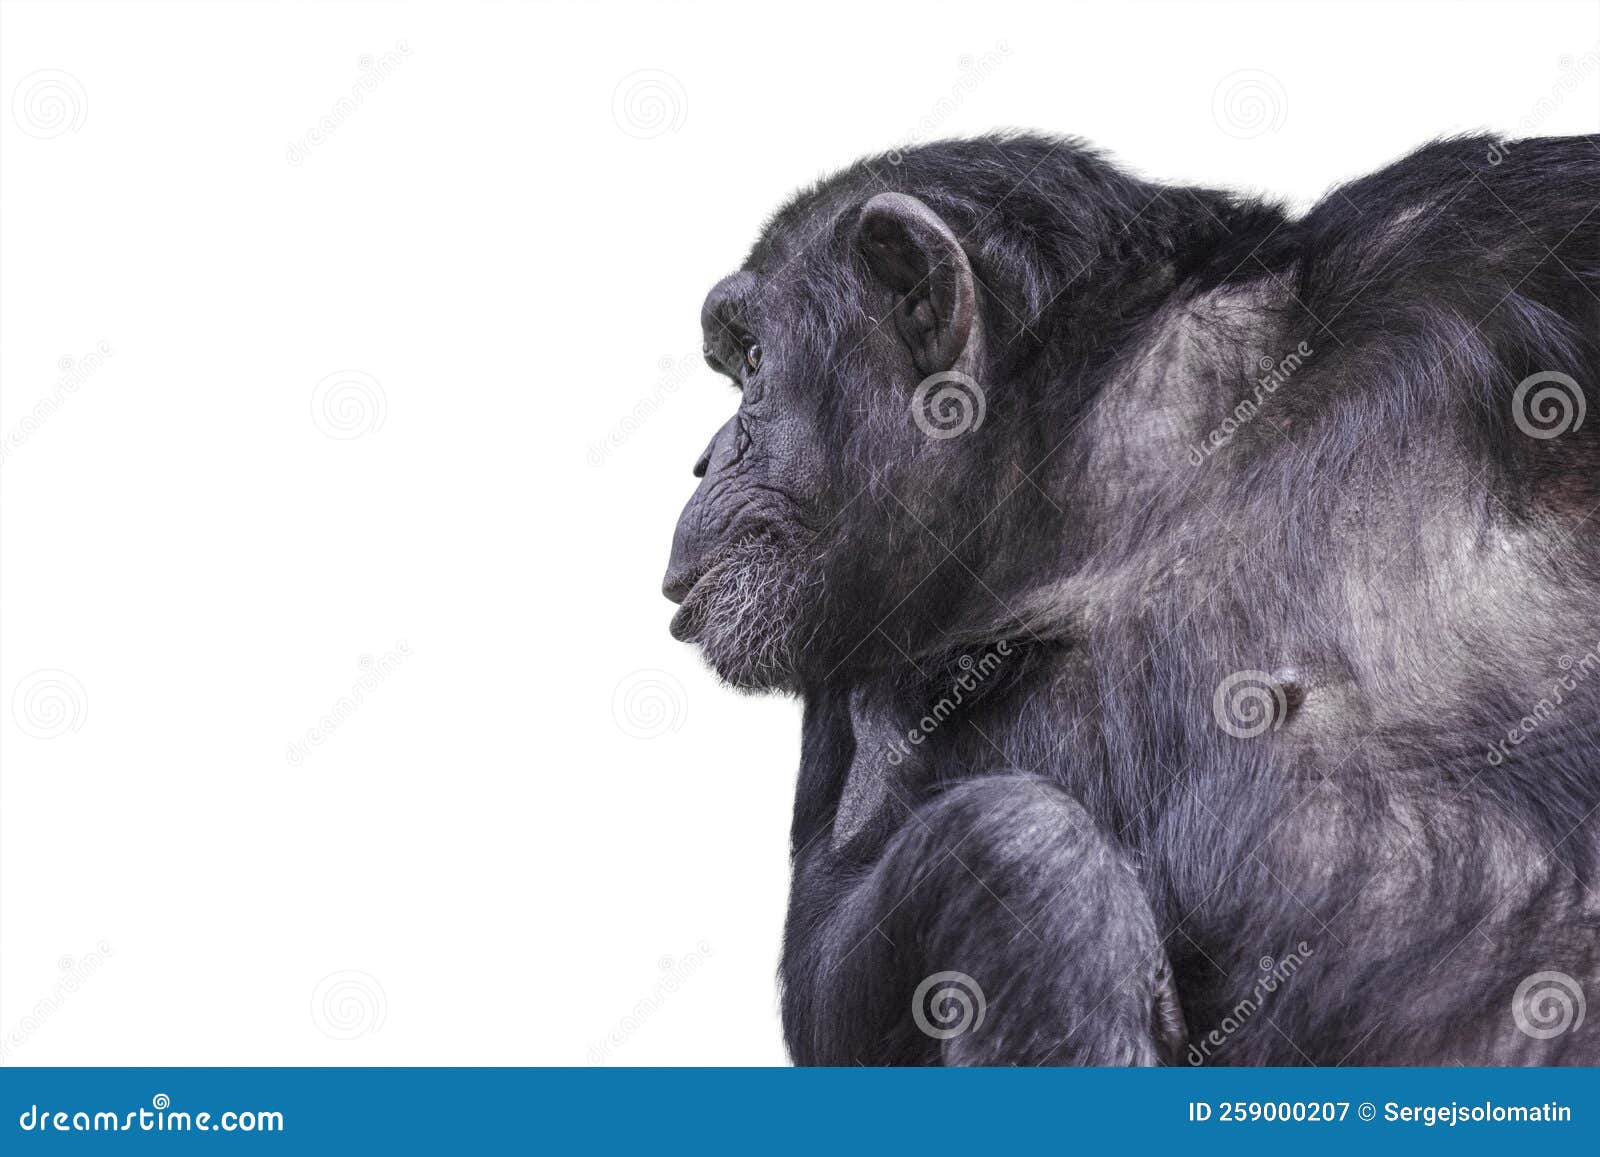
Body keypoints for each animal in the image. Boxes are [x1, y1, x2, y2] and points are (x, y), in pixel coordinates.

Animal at [663, 132, 1600, 1064]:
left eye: (753, 360)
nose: (706, 457)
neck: (1103, 490)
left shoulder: (1473, 237)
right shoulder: (845, 670)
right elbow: (831, 969)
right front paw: (1044, 878)